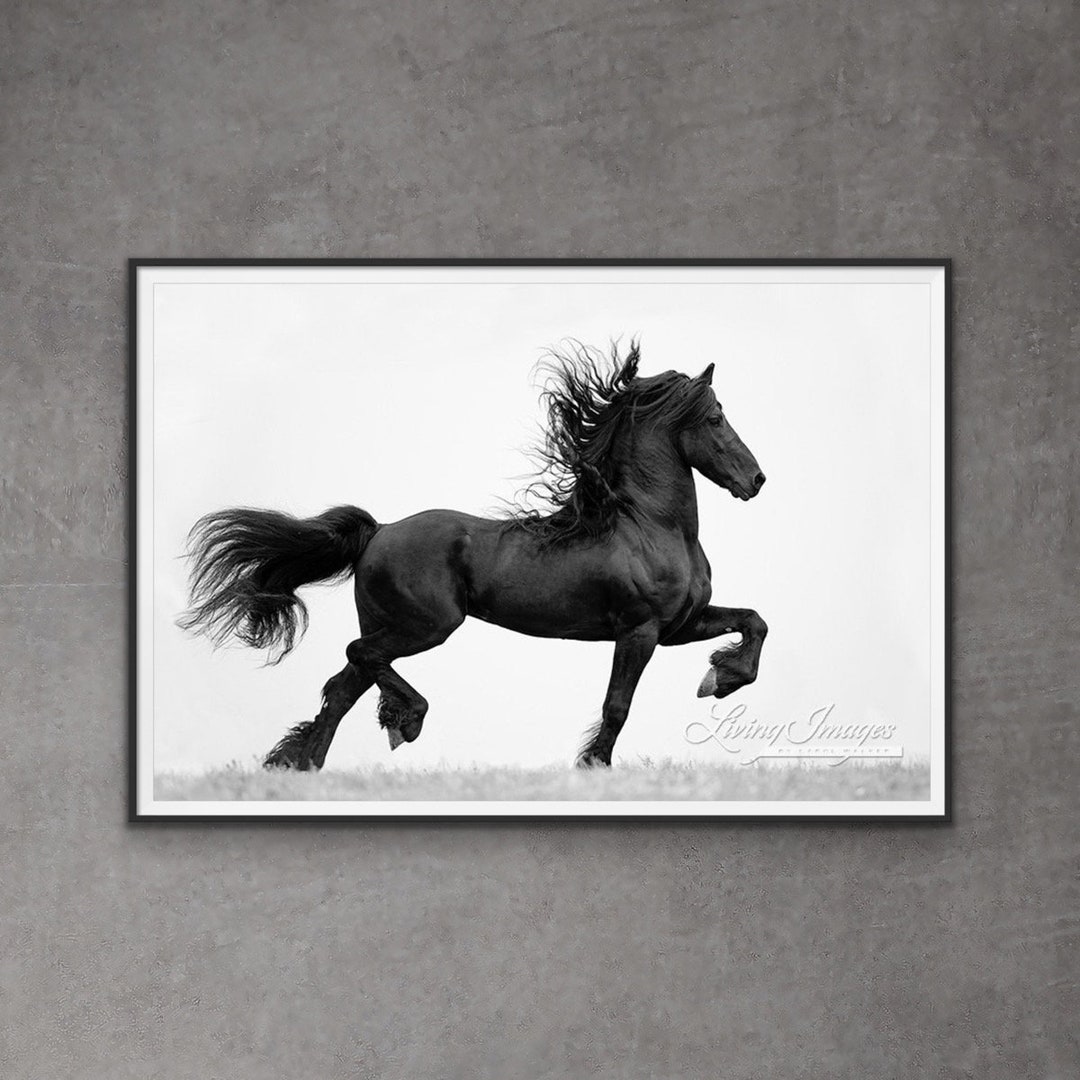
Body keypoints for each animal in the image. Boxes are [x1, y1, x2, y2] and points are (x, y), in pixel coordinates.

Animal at [178, 341, 768, 769]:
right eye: (715, 418)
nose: (757, 480)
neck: (649, 525)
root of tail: (380, 532)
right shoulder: (640, 630)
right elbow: (617, 707)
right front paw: (593, 766)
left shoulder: (678, 626)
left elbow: (754, 621)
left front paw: (721, 678)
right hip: (428, 624)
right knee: (358, 658)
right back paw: (405, 722)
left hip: (392, 623)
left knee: (346, 685)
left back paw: (303, 766)